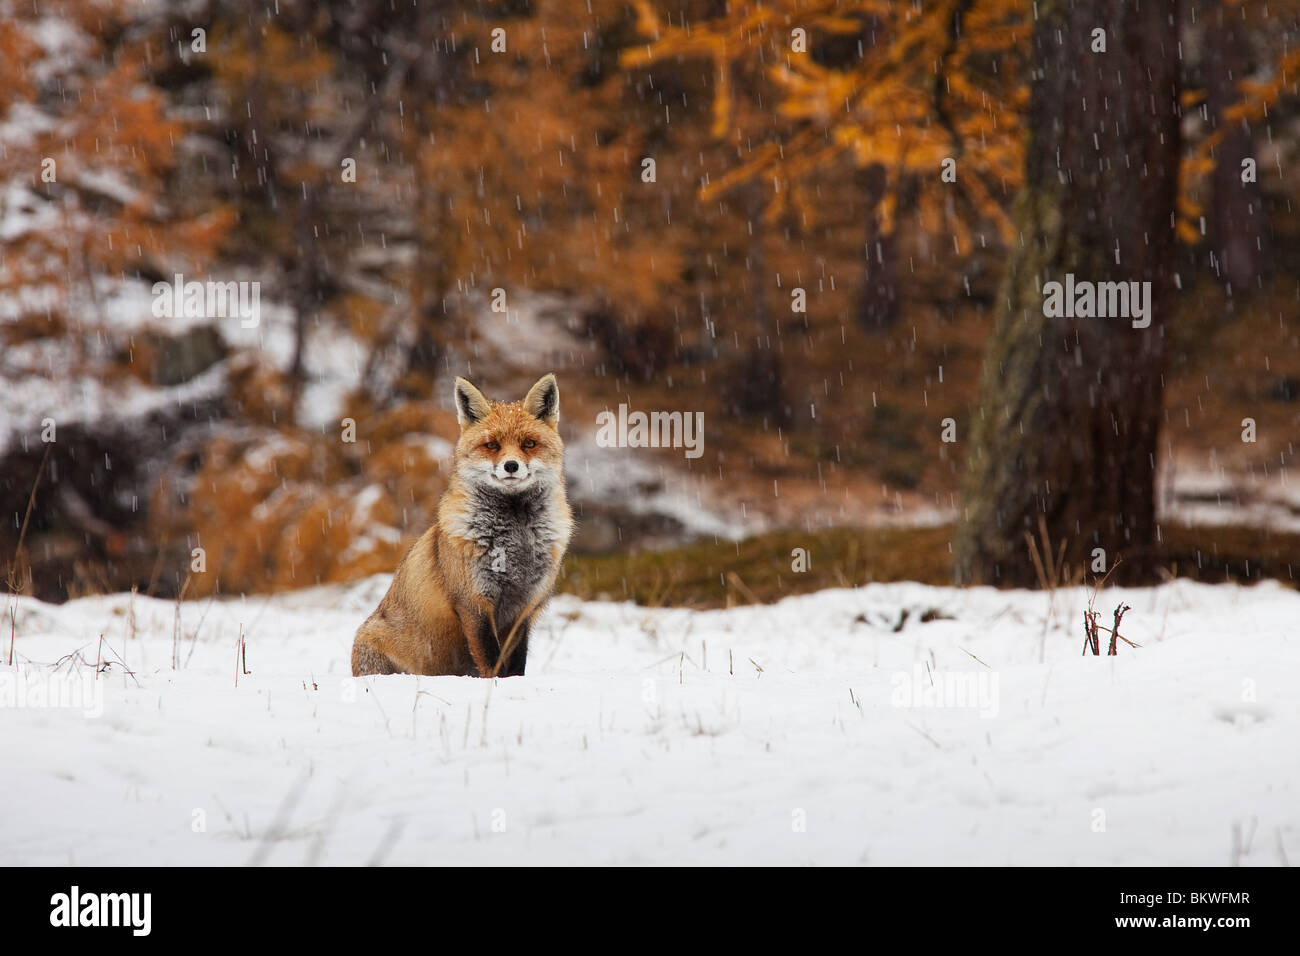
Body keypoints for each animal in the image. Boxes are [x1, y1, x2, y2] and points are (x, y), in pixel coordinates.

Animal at [350, 373, 573, 678]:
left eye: (529, 444)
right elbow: (491, 661)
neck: (515, 536)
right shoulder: (473, 603)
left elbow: (516, 663)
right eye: (492, 445)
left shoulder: (525, 607)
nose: (511, 466)